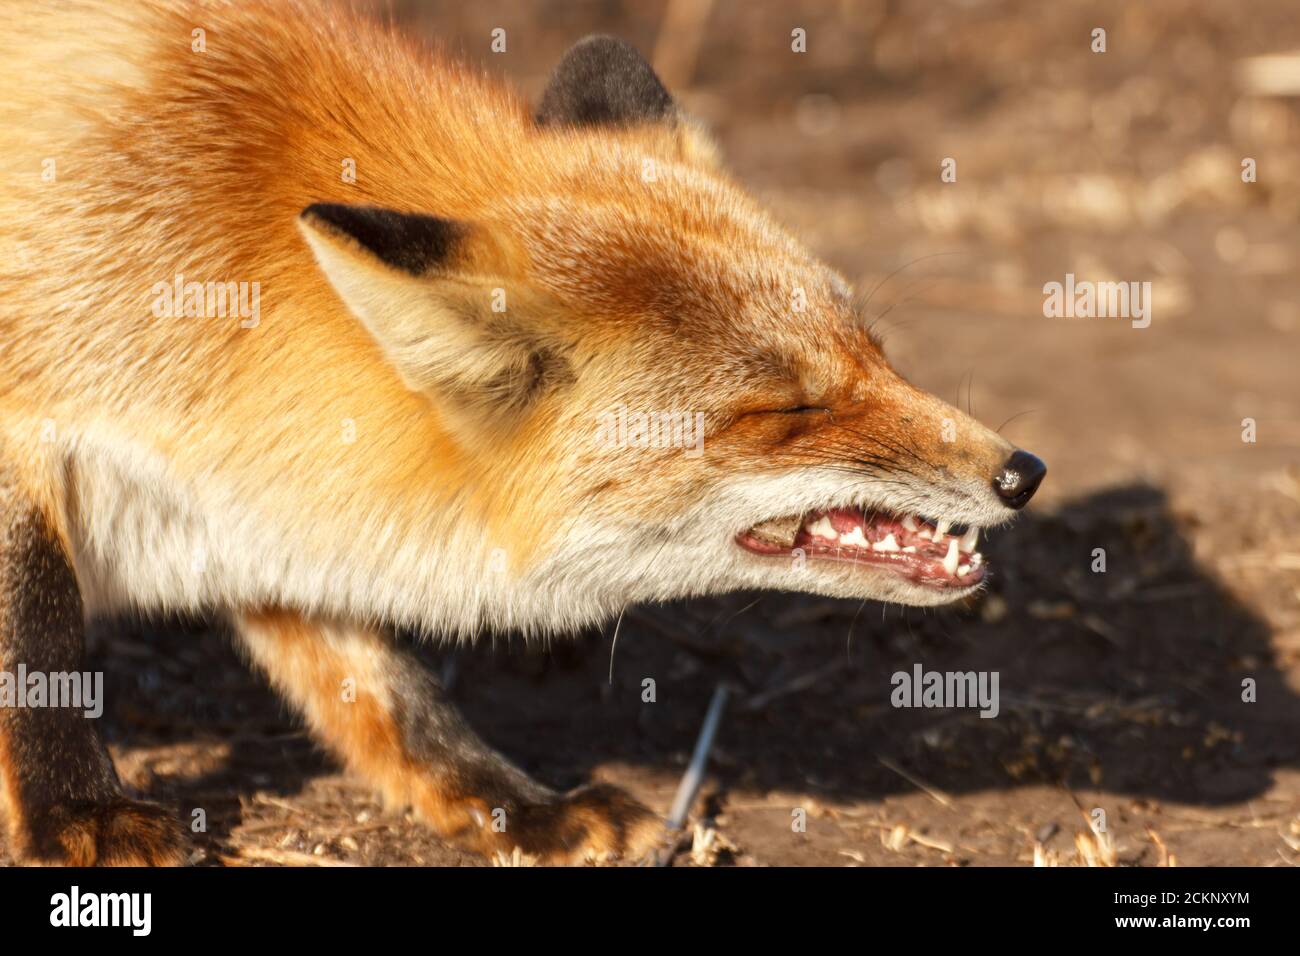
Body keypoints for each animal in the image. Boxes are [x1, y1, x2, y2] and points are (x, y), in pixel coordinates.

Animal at [0, 0, 1045, 866]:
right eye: (788, 408)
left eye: (876, 352)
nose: (1024, 473)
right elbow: (37, 636)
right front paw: (75, 812)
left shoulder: (260, 508)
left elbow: (385, 686)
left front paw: (511, 805)